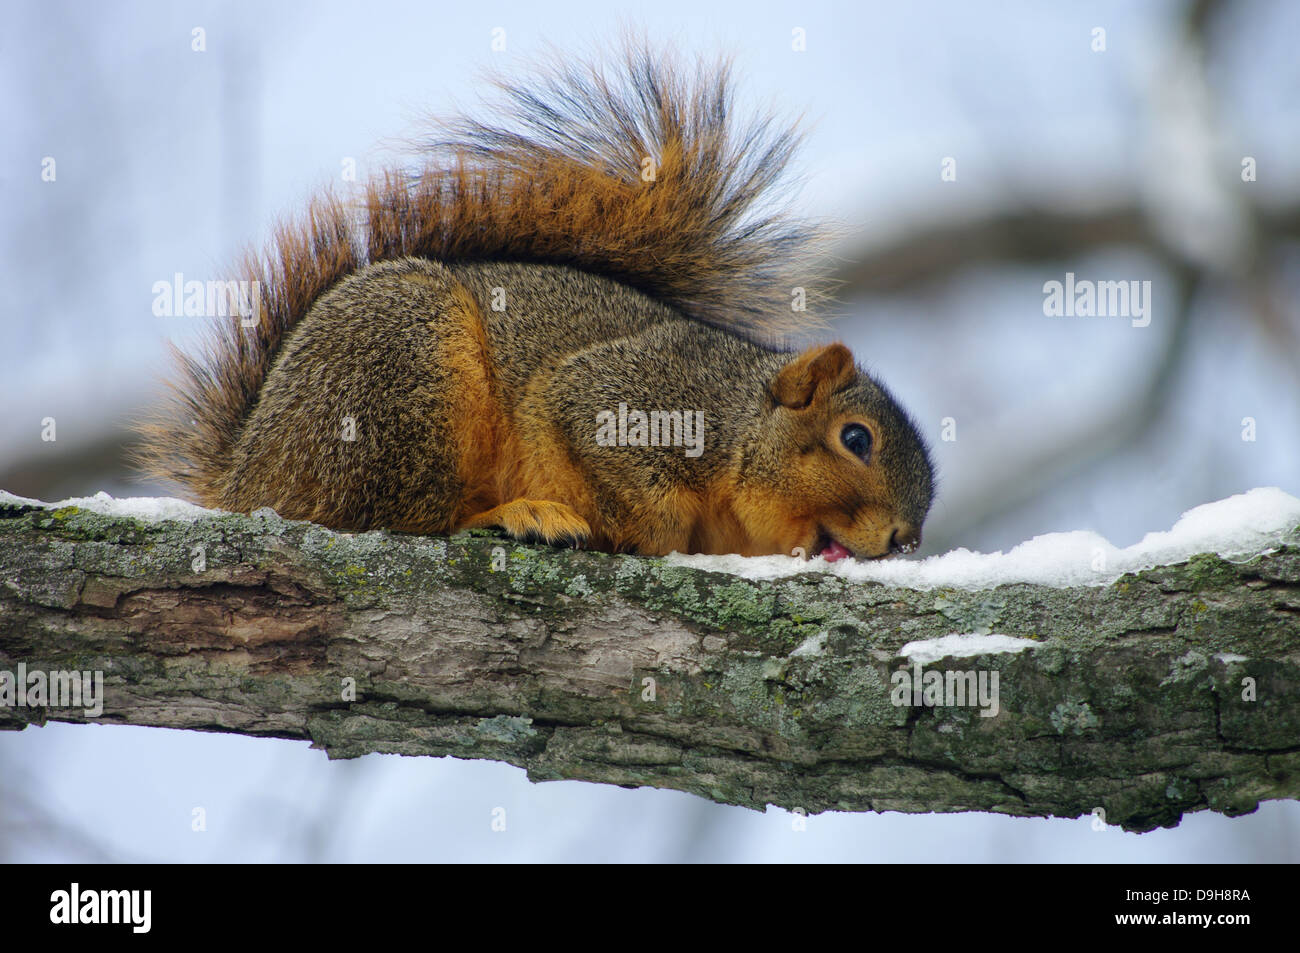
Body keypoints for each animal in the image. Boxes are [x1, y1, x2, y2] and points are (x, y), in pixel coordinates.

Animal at [134, 44, 935, 562]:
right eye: (855, 438)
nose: (905, 540)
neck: (739, 420)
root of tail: (247, 470)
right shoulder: (635, 400)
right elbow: (616, 467)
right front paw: (637, 533)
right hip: (401, 378)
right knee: (399, 519)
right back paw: (522, 512)